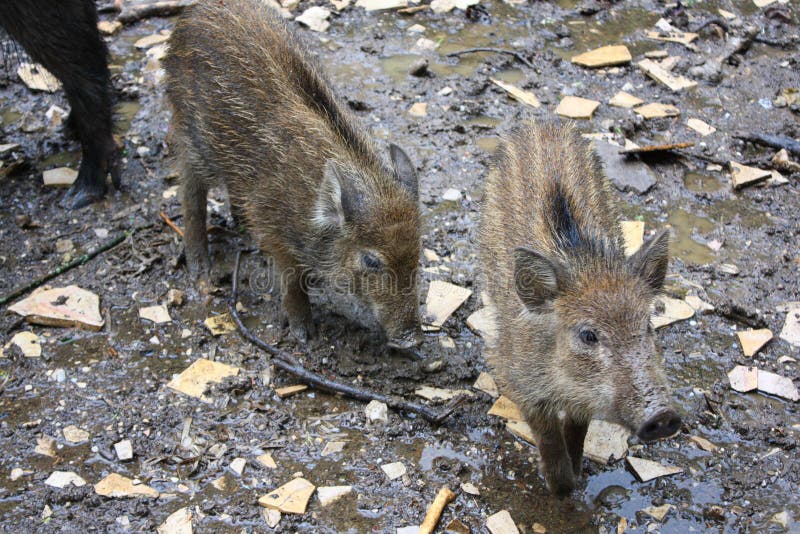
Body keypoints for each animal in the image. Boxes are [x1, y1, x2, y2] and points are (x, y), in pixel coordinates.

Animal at [164, 0, 422, 348]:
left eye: (418, 251)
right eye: (371, 261)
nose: (412, 338)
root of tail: (190, 15)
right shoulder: (276, 233)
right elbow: (292, 280)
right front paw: (303, 335)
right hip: (190, 139)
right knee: (190, 196)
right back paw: (200, 268)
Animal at [479, 121, 681, 496]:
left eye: (647, 326)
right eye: (588, 335)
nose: (662, 416)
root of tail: (540, 123)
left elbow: (578, 431)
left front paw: (578, 477)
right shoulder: (520, 380)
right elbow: (548, 437)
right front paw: (561, 490)